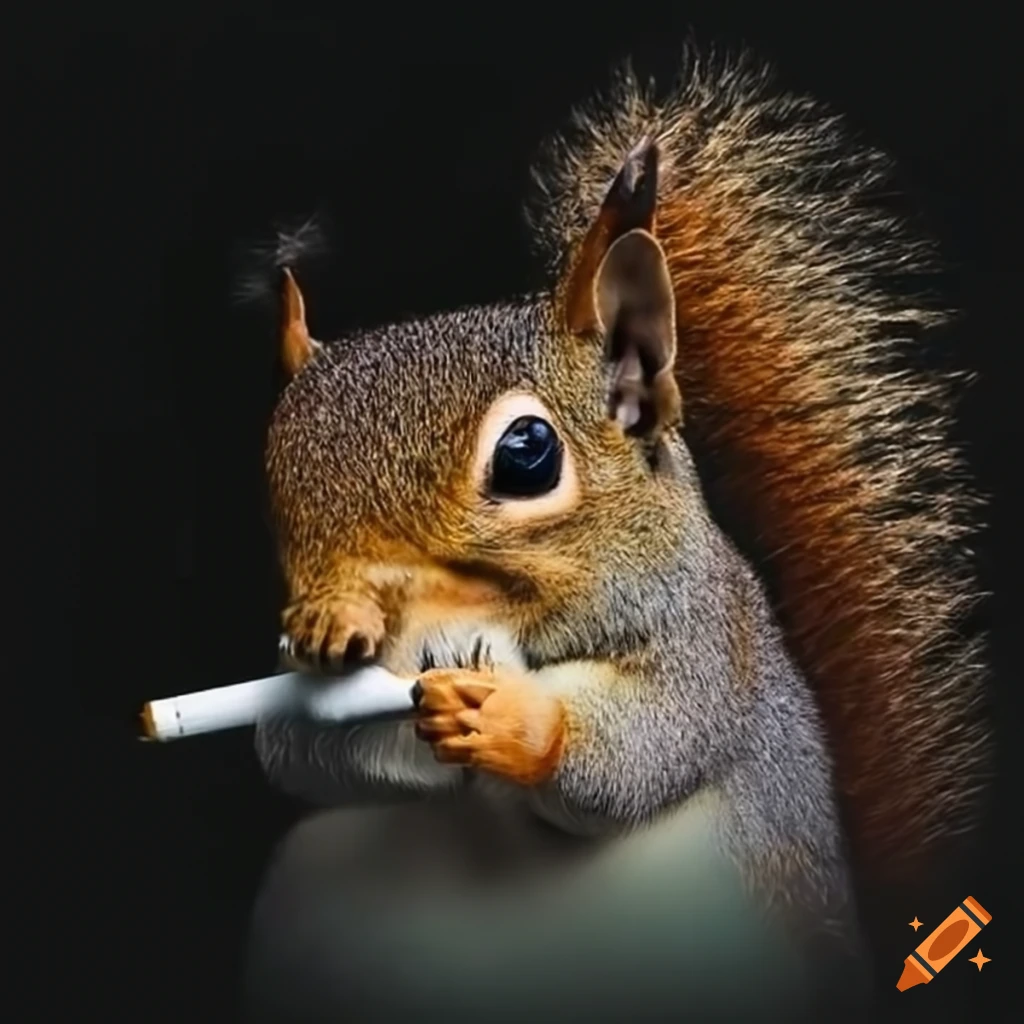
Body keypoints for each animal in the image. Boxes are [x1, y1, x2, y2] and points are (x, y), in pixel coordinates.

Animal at [248, 44, 988, 1011]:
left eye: (527, 456)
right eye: (274, 483)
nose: (390, 620)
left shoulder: (714, 644)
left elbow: (653, 738)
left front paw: (515, 722)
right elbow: (297, 746)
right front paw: (338, 622)